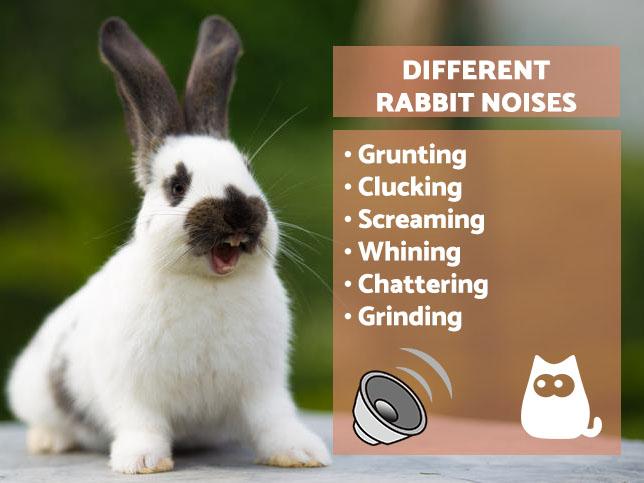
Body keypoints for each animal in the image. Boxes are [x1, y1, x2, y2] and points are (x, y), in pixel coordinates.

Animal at [6, 16, 330, 474]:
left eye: (248, 171)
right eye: (177, 186)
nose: (238, 212)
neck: (210, 287)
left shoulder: (264, 385)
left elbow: (275, 420)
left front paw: (302, 453)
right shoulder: (133, 389)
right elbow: (142, 424)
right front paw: (142, 461)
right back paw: (48, 441)